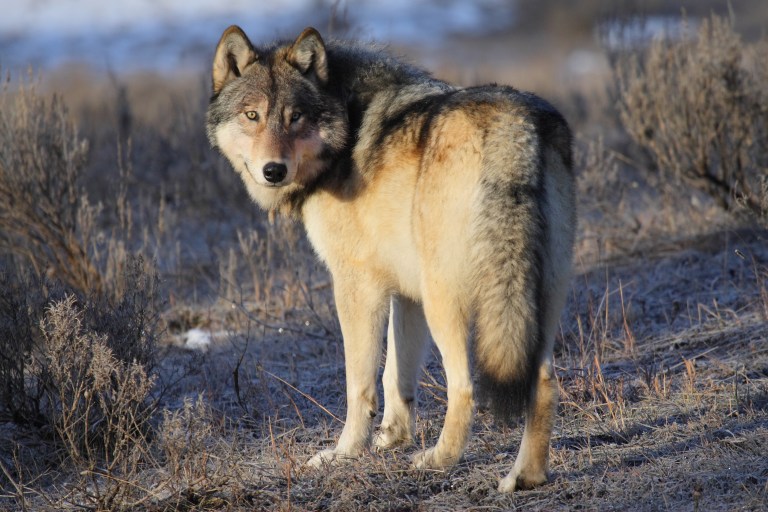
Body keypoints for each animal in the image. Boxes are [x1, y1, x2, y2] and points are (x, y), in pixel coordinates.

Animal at [206, 25, 576, 492]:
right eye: (252, 115)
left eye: (296, 117)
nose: (274, 170)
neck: (348, 122)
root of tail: (514, 127)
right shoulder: (404, 291)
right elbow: (396, 375)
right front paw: (391, 439)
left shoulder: (355, 284)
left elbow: (360, 381)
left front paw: (345, 453)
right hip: (537, 301)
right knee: (542, 380)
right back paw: (525, 477)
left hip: (445, 301)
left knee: (465, 386)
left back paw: (437, 460)